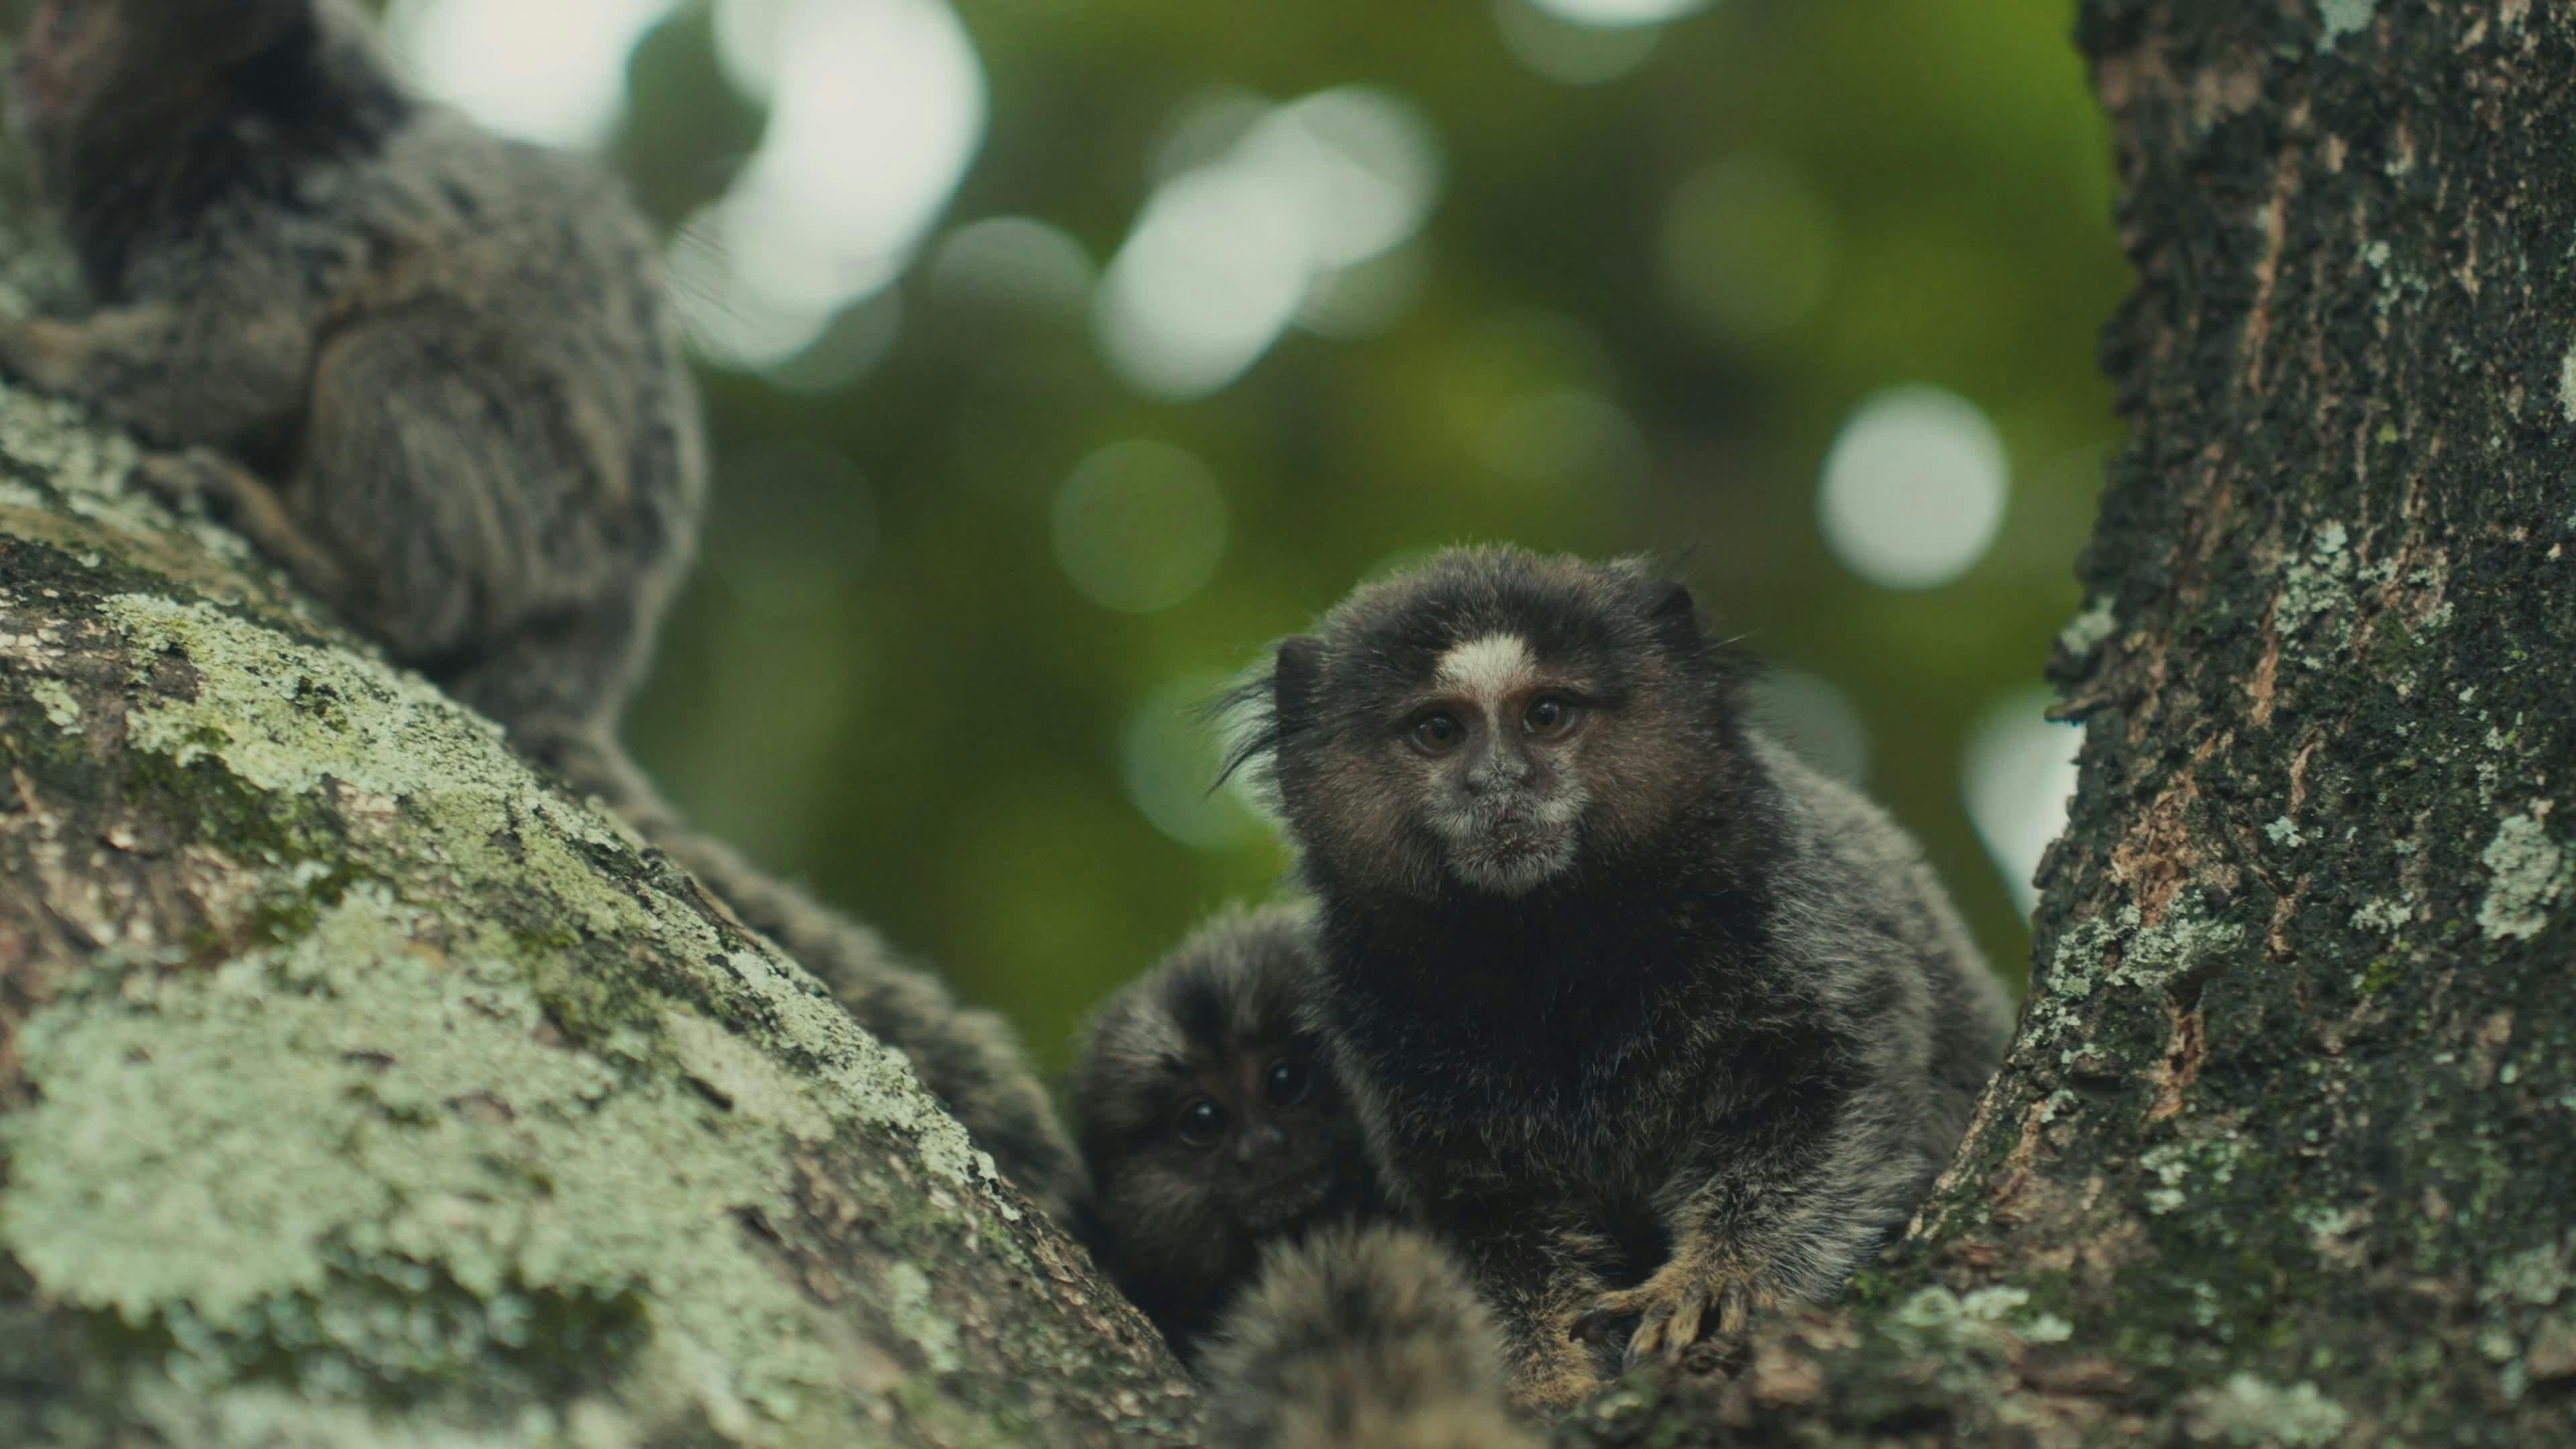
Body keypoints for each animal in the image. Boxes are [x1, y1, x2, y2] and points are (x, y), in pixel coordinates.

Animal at [0, 0, 1088, 1226]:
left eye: (73, 29)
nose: (32, 64)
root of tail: (580, 662)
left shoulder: (288, 211)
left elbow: (239, 355)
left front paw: (28, 342)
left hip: (524, 511)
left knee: (388, 367)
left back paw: (321, 552)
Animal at [1220, 545, 2014, 1411]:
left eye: (1546, 715)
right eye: (1437, 731)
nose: (1498, 784)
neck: (1550, 950)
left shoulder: (1796, 908)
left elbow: (1830, 1106)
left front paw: (1712, 1281)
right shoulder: (1377, 1016)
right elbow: (1490, 1225)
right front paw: (1542, 1382)